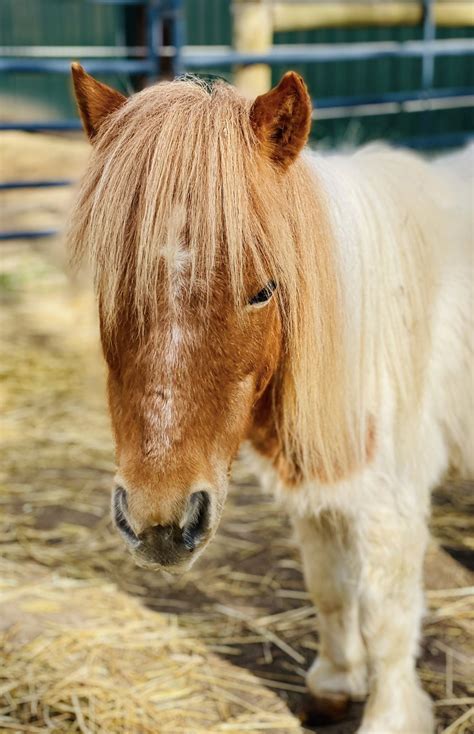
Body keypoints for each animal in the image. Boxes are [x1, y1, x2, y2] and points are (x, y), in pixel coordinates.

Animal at [69, 63, 473, 733]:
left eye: (264, 290)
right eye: (115, 280)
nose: (159, 522)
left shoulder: (390, 500)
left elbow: (386, 615)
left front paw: (389, 714)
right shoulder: (318, 484)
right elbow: (329, 585)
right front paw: (335, 682)